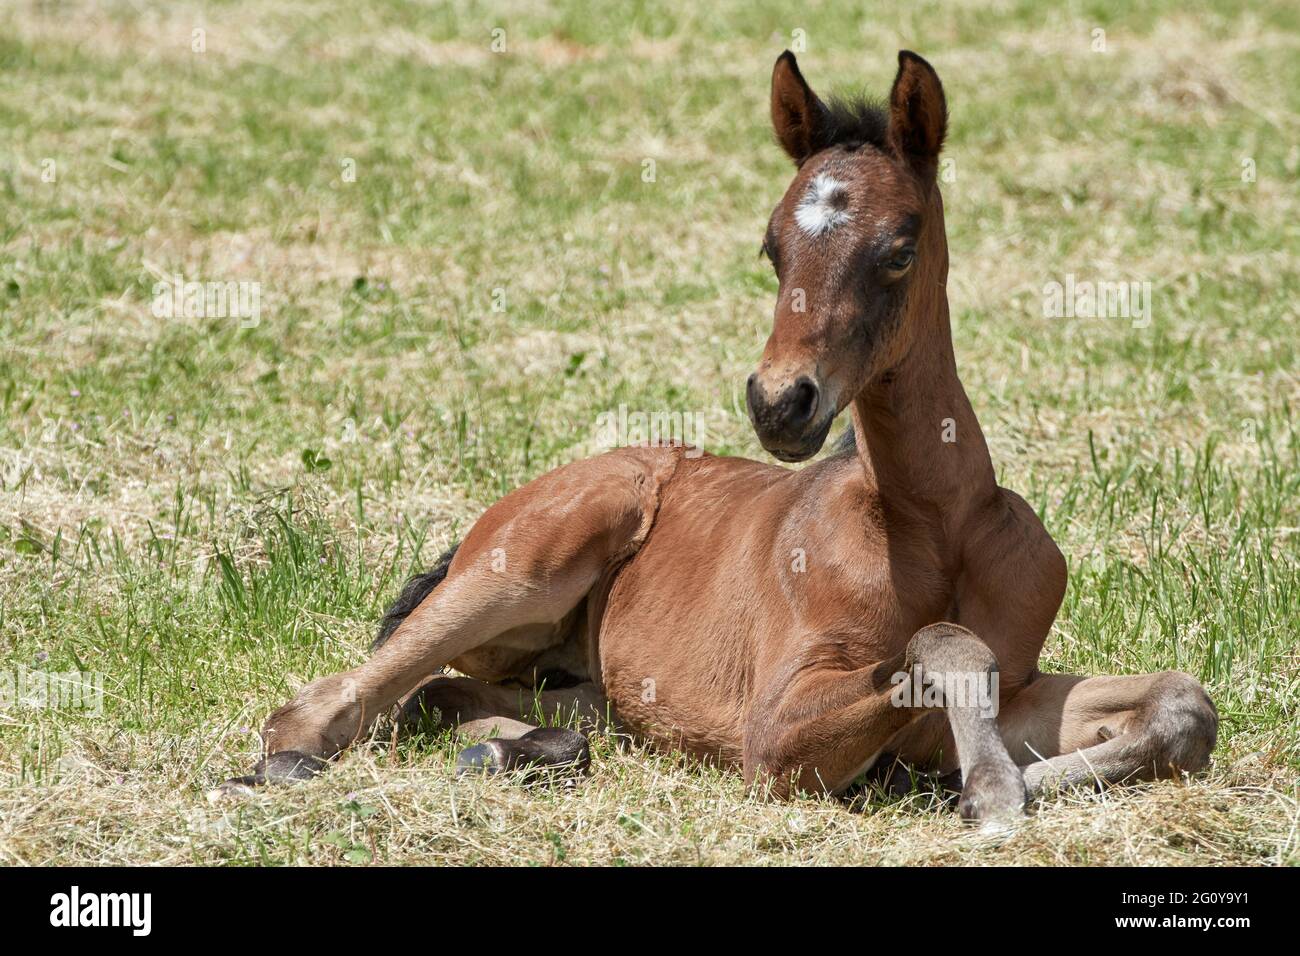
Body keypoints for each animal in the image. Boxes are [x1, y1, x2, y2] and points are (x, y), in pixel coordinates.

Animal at [218, 50, 1218, 821]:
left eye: (898, 248)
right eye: (774, 248)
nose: (781, 402)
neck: (936, 522)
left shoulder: (1019, 682)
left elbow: (1181, 702)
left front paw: (985, 782)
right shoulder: (773, 735)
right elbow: (938, 643)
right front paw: (995, 794)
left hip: (590, 688)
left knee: (459, 699)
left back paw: (505, 752)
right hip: (522, 567)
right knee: (325, 708)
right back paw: (291, 768)